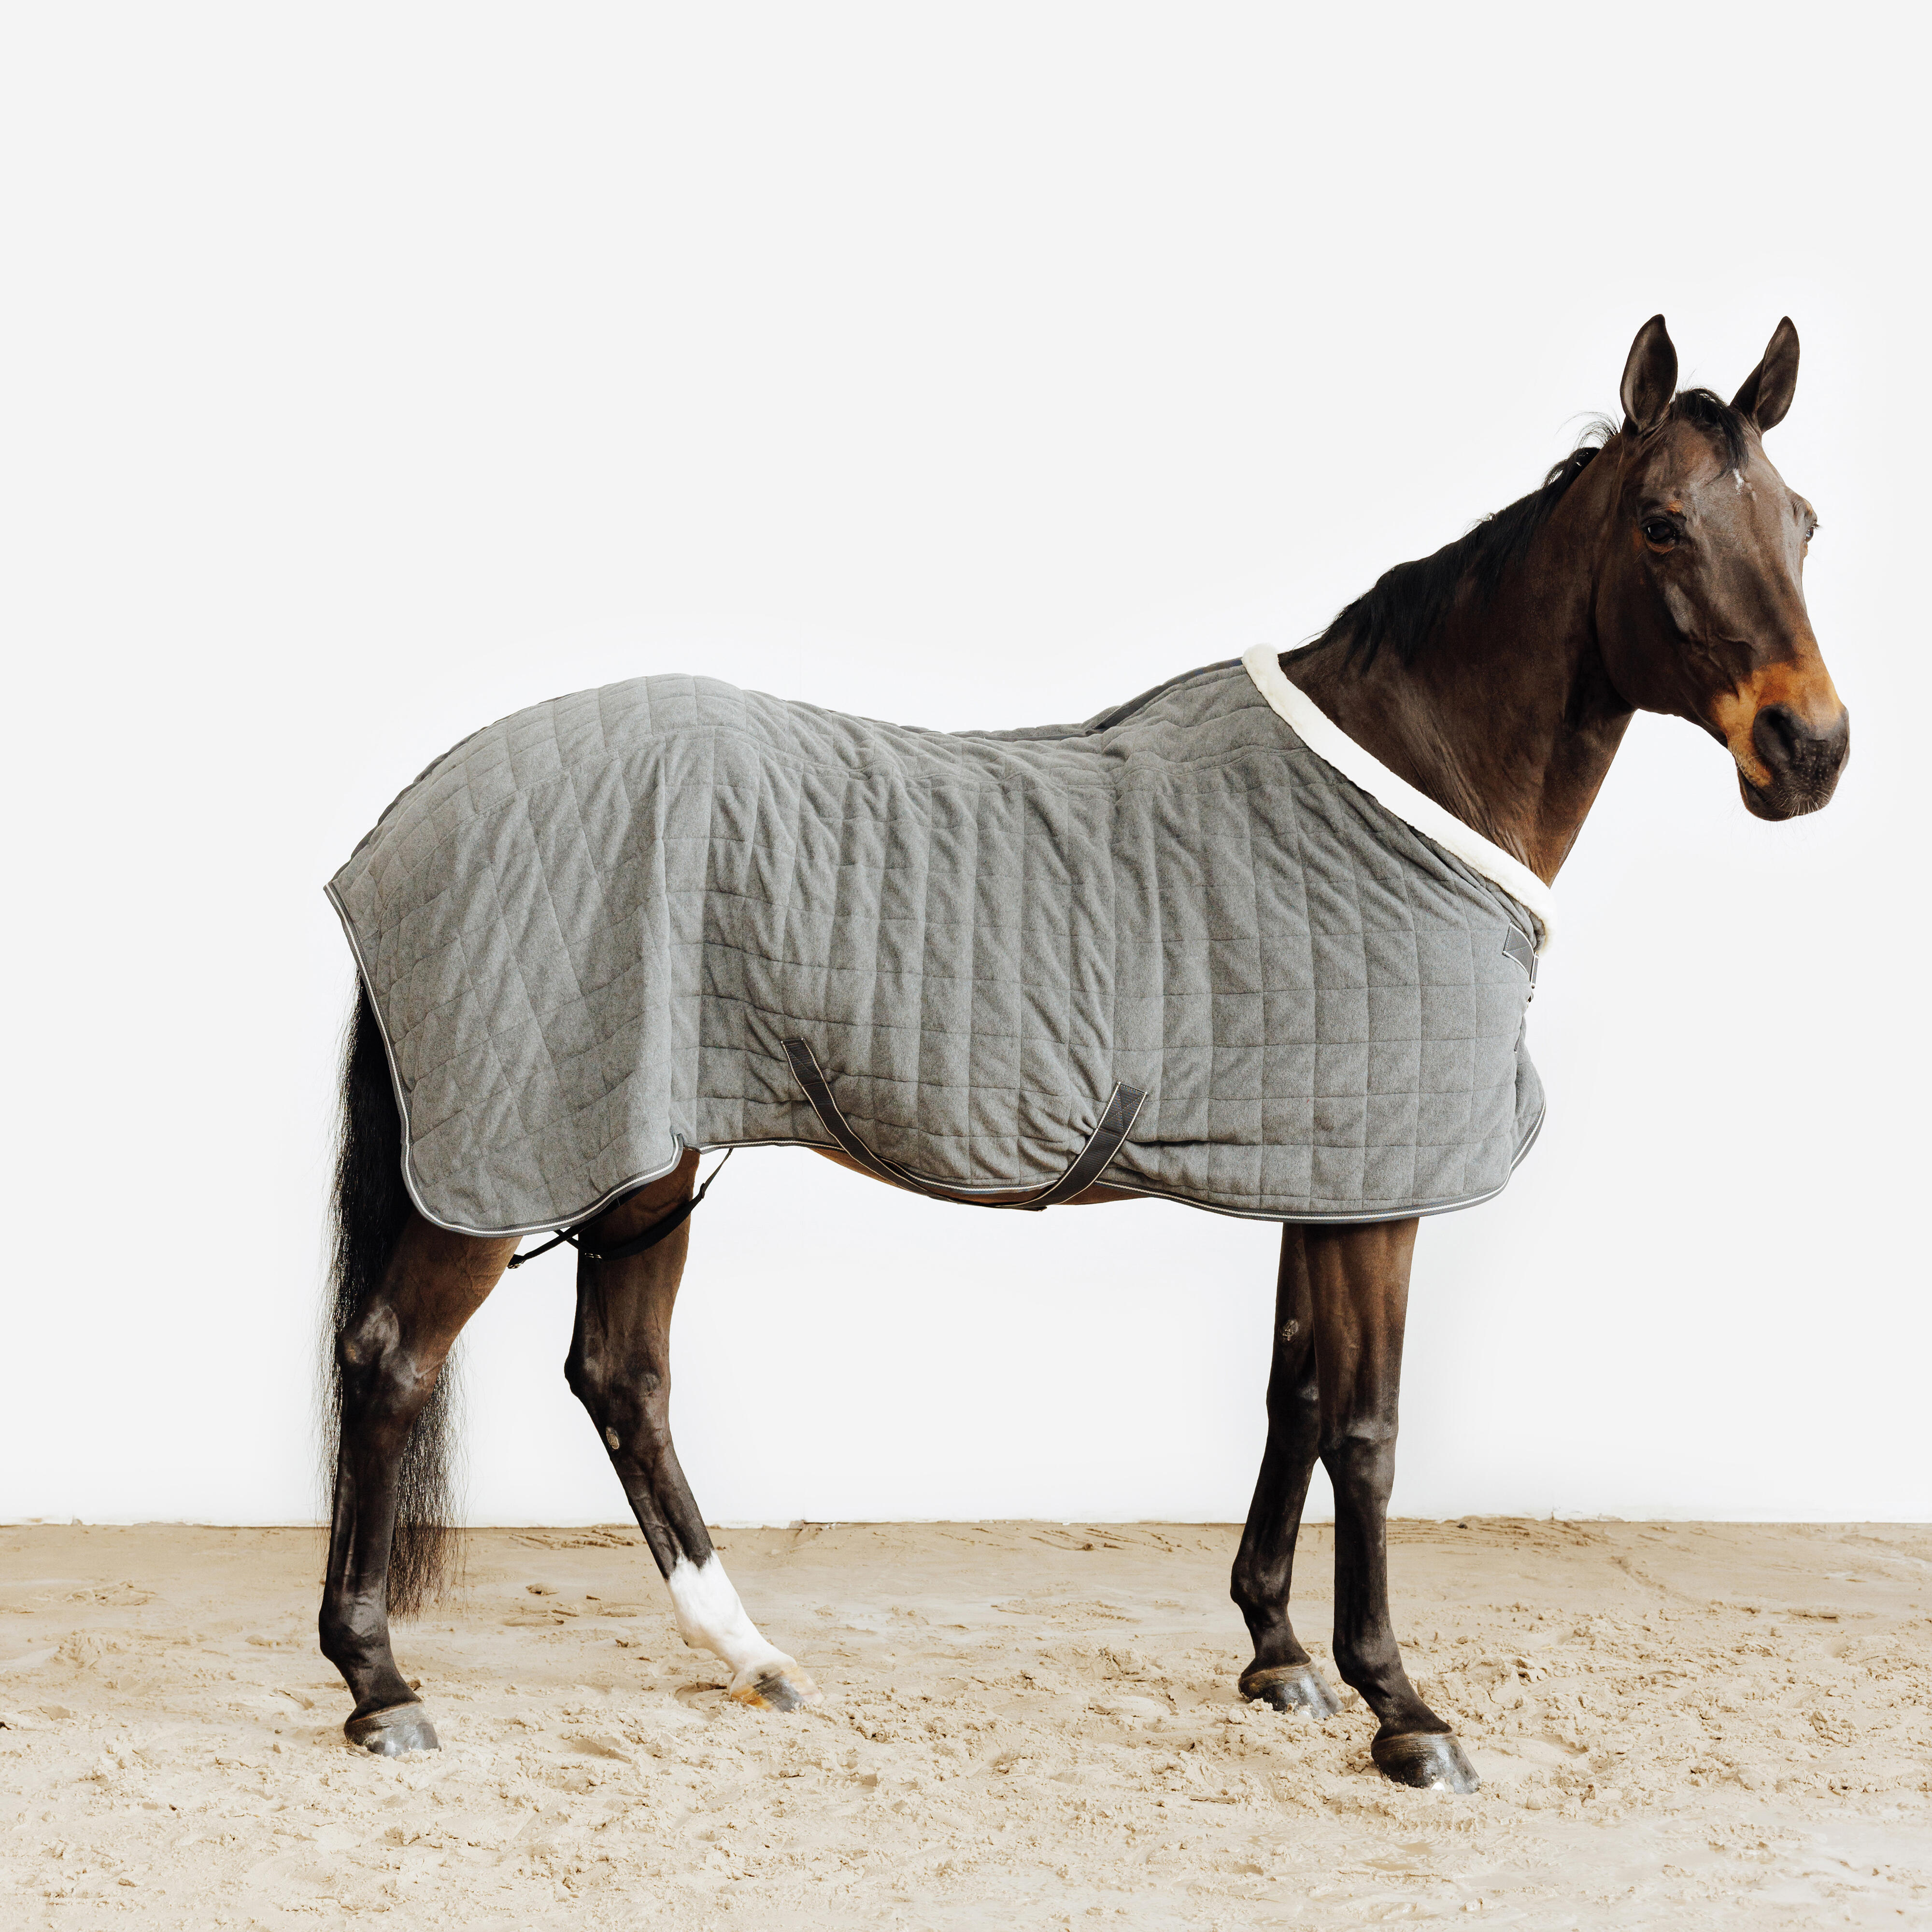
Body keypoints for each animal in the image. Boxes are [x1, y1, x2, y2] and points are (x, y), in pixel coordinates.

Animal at [318, 316, 1847, 1792]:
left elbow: (1295, 1391)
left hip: (644, 1151)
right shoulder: (1383, 1195)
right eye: (1661, 522)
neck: (1405, 783)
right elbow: (1367, 1429)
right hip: (523, 1148)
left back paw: (747, 1654)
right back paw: (379, 1682)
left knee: (621, 1378)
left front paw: (1277, 1656)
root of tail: (412, 811)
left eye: (1805, 520)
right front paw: (1404, 1713)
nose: (1809, 750)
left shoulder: (1323, 1171)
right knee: (393, 1358)